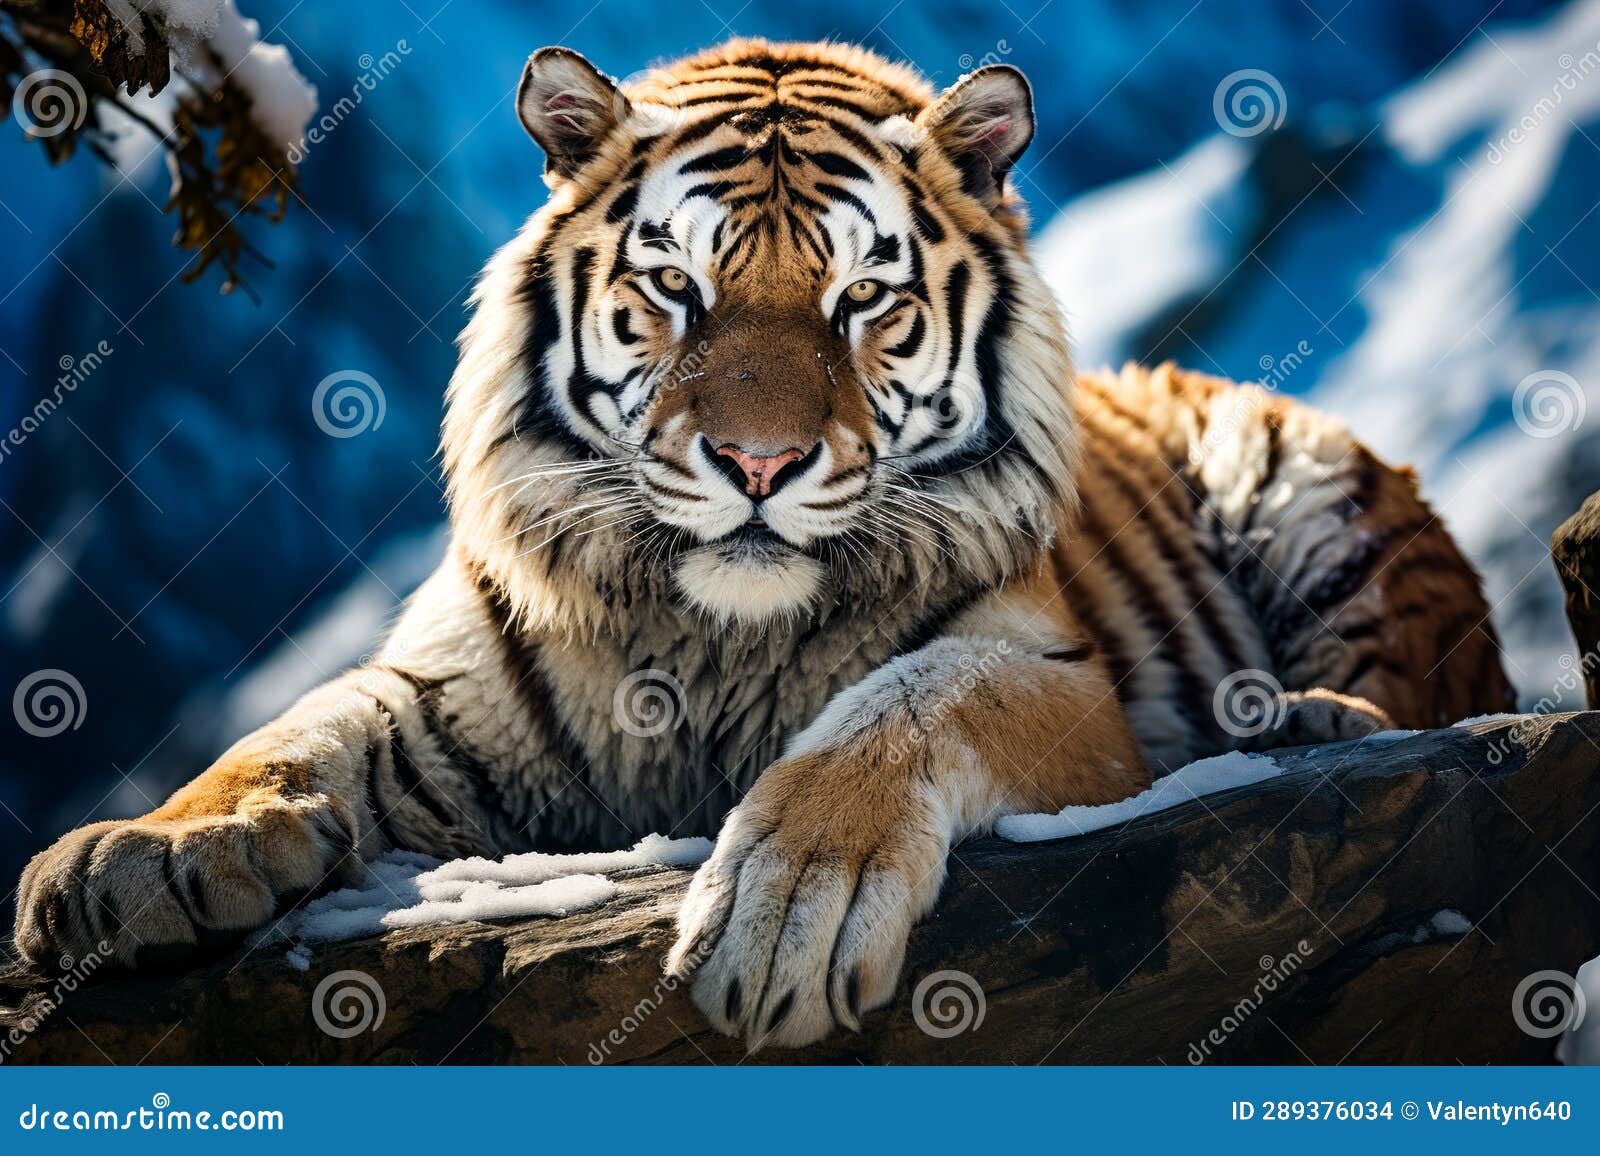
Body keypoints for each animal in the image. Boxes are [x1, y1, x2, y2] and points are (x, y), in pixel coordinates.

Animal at [12, 38, 1514, 1051]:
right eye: (676, 287)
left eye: (863, 301)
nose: (757, 465)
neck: (714, 633)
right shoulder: (454, 689)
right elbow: (299, 727)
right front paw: (134, 856)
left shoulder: (1052, 671)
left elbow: (903, 703)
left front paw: (791, 907)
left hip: (1311, 488)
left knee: (1434, 685)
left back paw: (1309, 721)